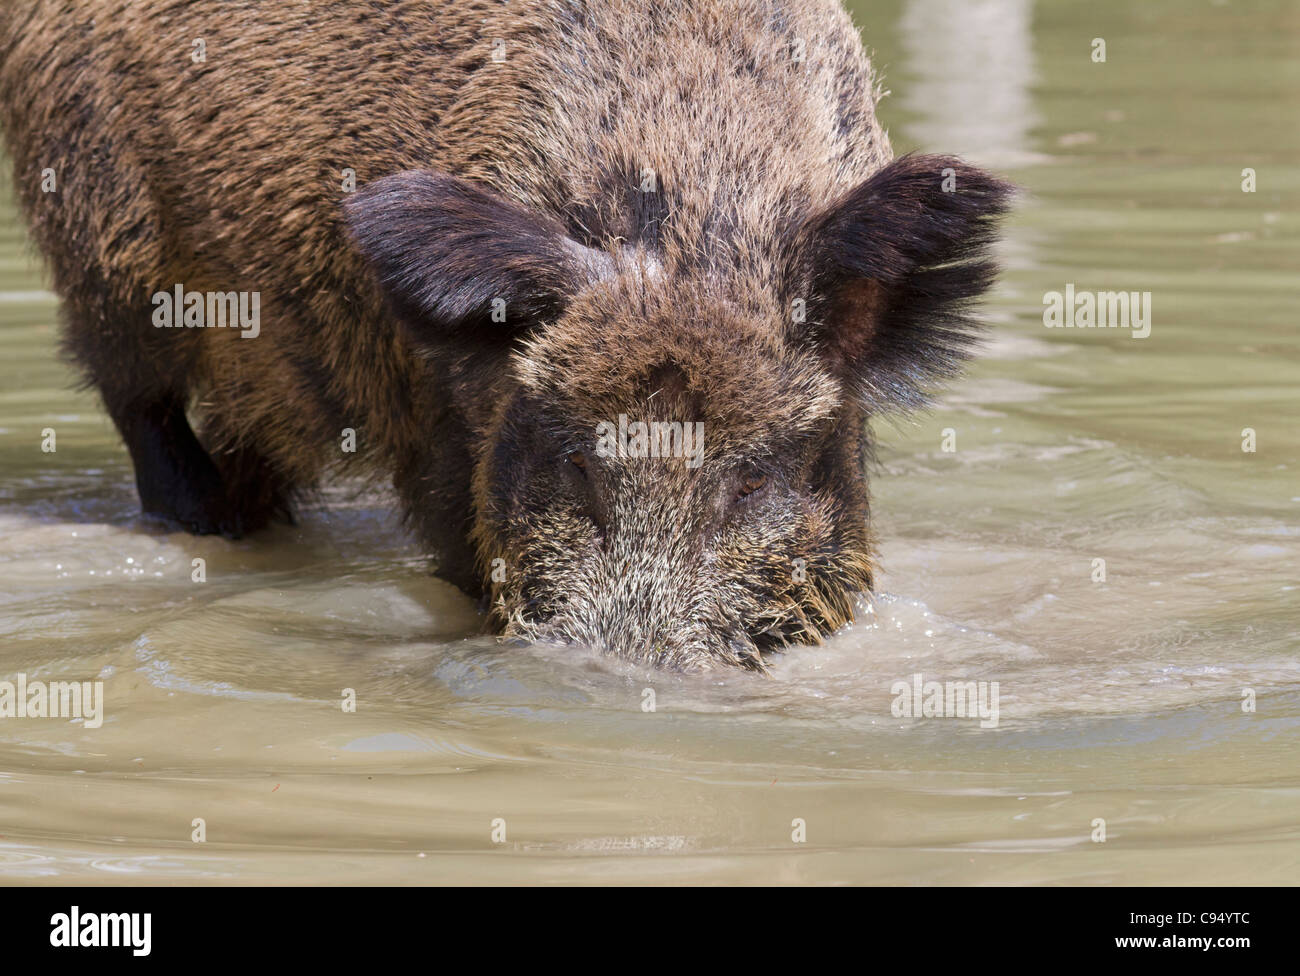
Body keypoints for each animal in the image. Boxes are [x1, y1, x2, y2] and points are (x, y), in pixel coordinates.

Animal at [0, 0, 1011, 670]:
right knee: (143, 409)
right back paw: (205, 522)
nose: (618, 674)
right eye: (576, 460)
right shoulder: (439, 425)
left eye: (755, 476)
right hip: (106, 252)